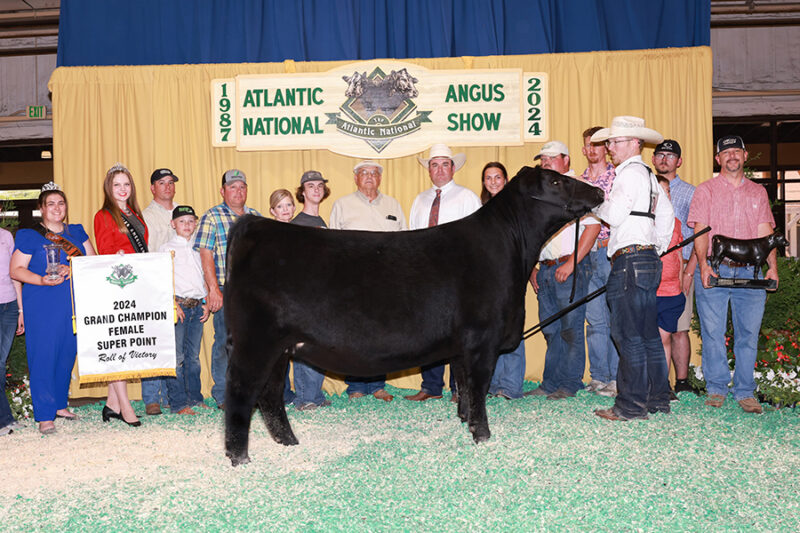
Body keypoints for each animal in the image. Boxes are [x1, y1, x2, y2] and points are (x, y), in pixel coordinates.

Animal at [223, 166, 604, 465]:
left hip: (280, 348)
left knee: (270, 395)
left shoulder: (462, 345)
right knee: (241, 392)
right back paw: (239, 457)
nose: (599, 191)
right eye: (555, 181)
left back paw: (288, 442)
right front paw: (482, 434)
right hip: (255, 342)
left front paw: (464, 420)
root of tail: (254, 225)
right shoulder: (483, 338)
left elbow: (464, 384)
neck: (511, 247)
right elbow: (479, 386)